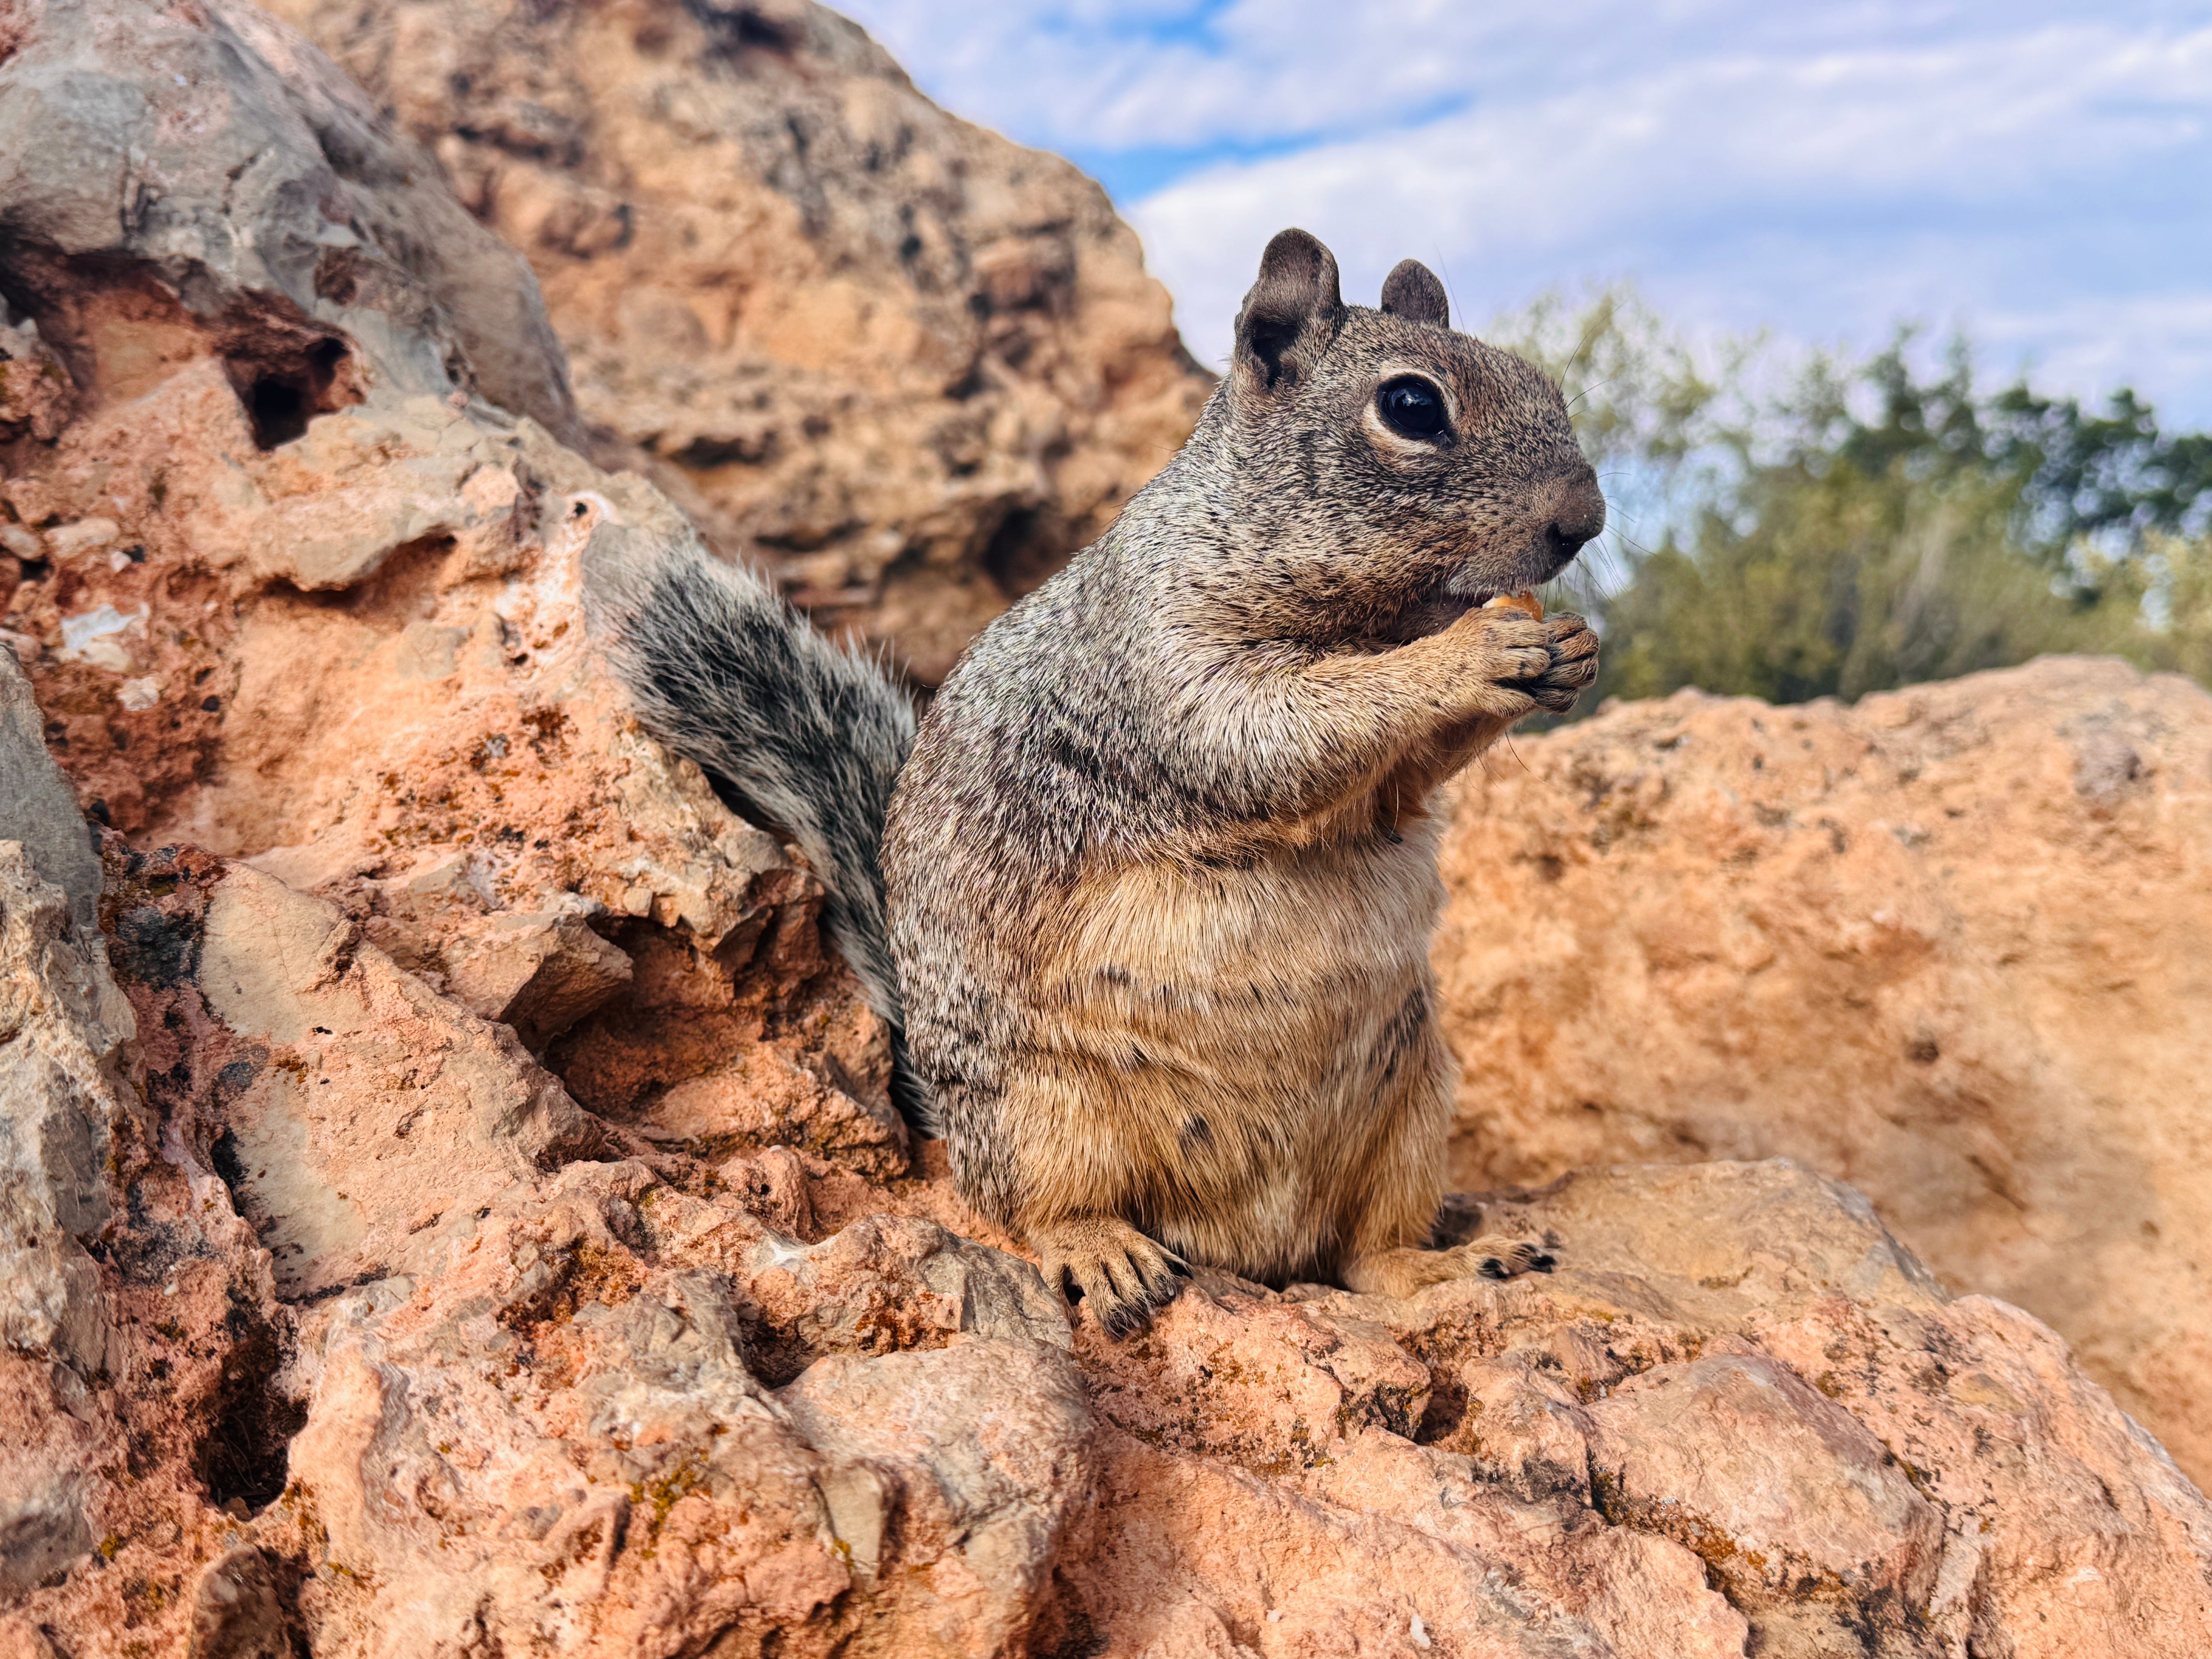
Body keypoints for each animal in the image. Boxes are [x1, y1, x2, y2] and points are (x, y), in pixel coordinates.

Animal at [587, 228, 1604, 1336]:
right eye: (1413, 406)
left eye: (1544, 382)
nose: (1589, 517)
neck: (1370, 613)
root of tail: (1257, 1245)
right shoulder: (1160, 665)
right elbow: (1276, 734)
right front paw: (1472, 654)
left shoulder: (1376, 776)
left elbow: (1402, 777)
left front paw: (1569, 651)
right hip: (1051, 1119)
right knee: (1045, 1211)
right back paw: (1108, 1255)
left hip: (1412, 1108)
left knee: (1366, 1257)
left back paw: (1453, 1263)